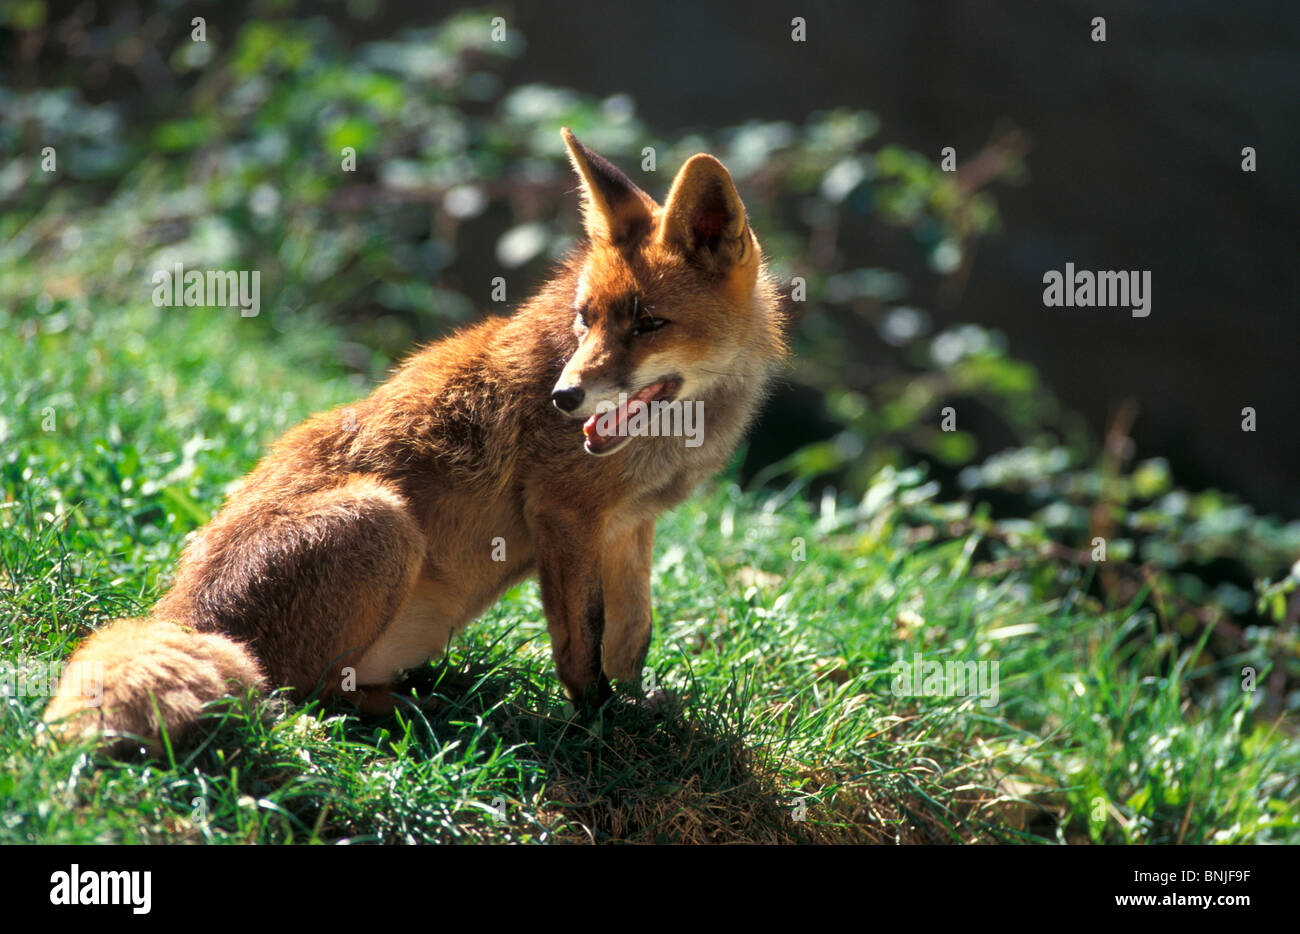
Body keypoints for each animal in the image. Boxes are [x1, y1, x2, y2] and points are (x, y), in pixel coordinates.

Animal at [43, 128, 787, 754]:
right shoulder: (566, 514)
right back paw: (424, 714)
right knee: (302, 695)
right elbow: (583, 642)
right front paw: (597, 728)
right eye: (587, 319)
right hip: (381, 522)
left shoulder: (629, 525)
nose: (565, 397)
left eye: (649, 324)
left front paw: (638, 714)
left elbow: (632, 636)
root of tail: (178, 614)